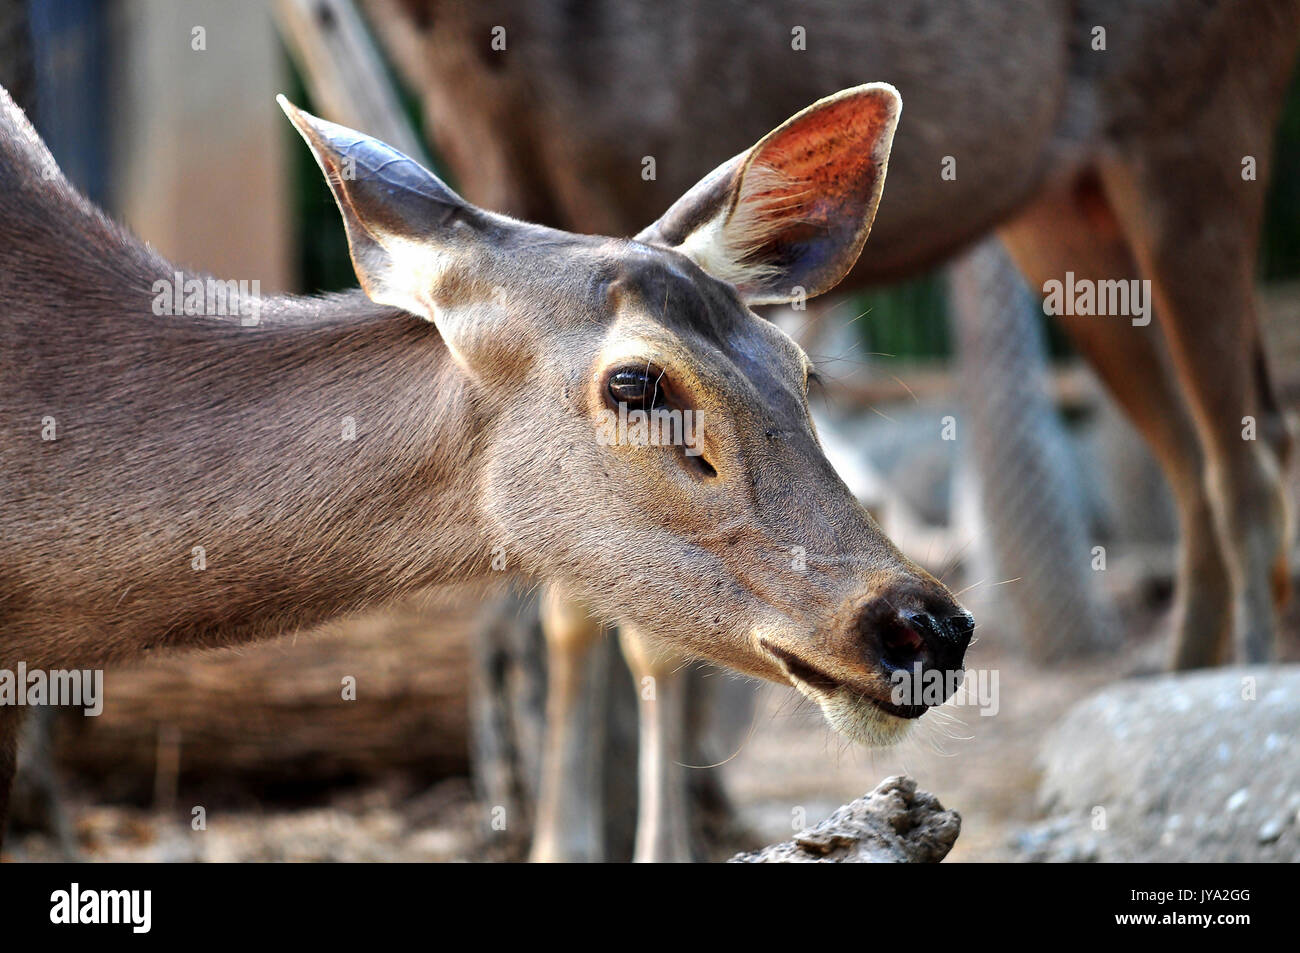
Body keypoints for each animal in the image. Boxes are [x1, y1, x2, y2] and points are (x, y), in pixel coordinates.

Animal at [361, 0, 1300, 860]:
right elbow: (572, 592)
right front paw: (564, 844)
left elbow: (651, 628)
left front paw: (658, 844)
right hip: (1065, 210)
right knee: (1204, 454)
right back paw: (1174, 686)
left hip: (1193, 131)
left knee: (1241, 460)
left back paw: (1239, 690)